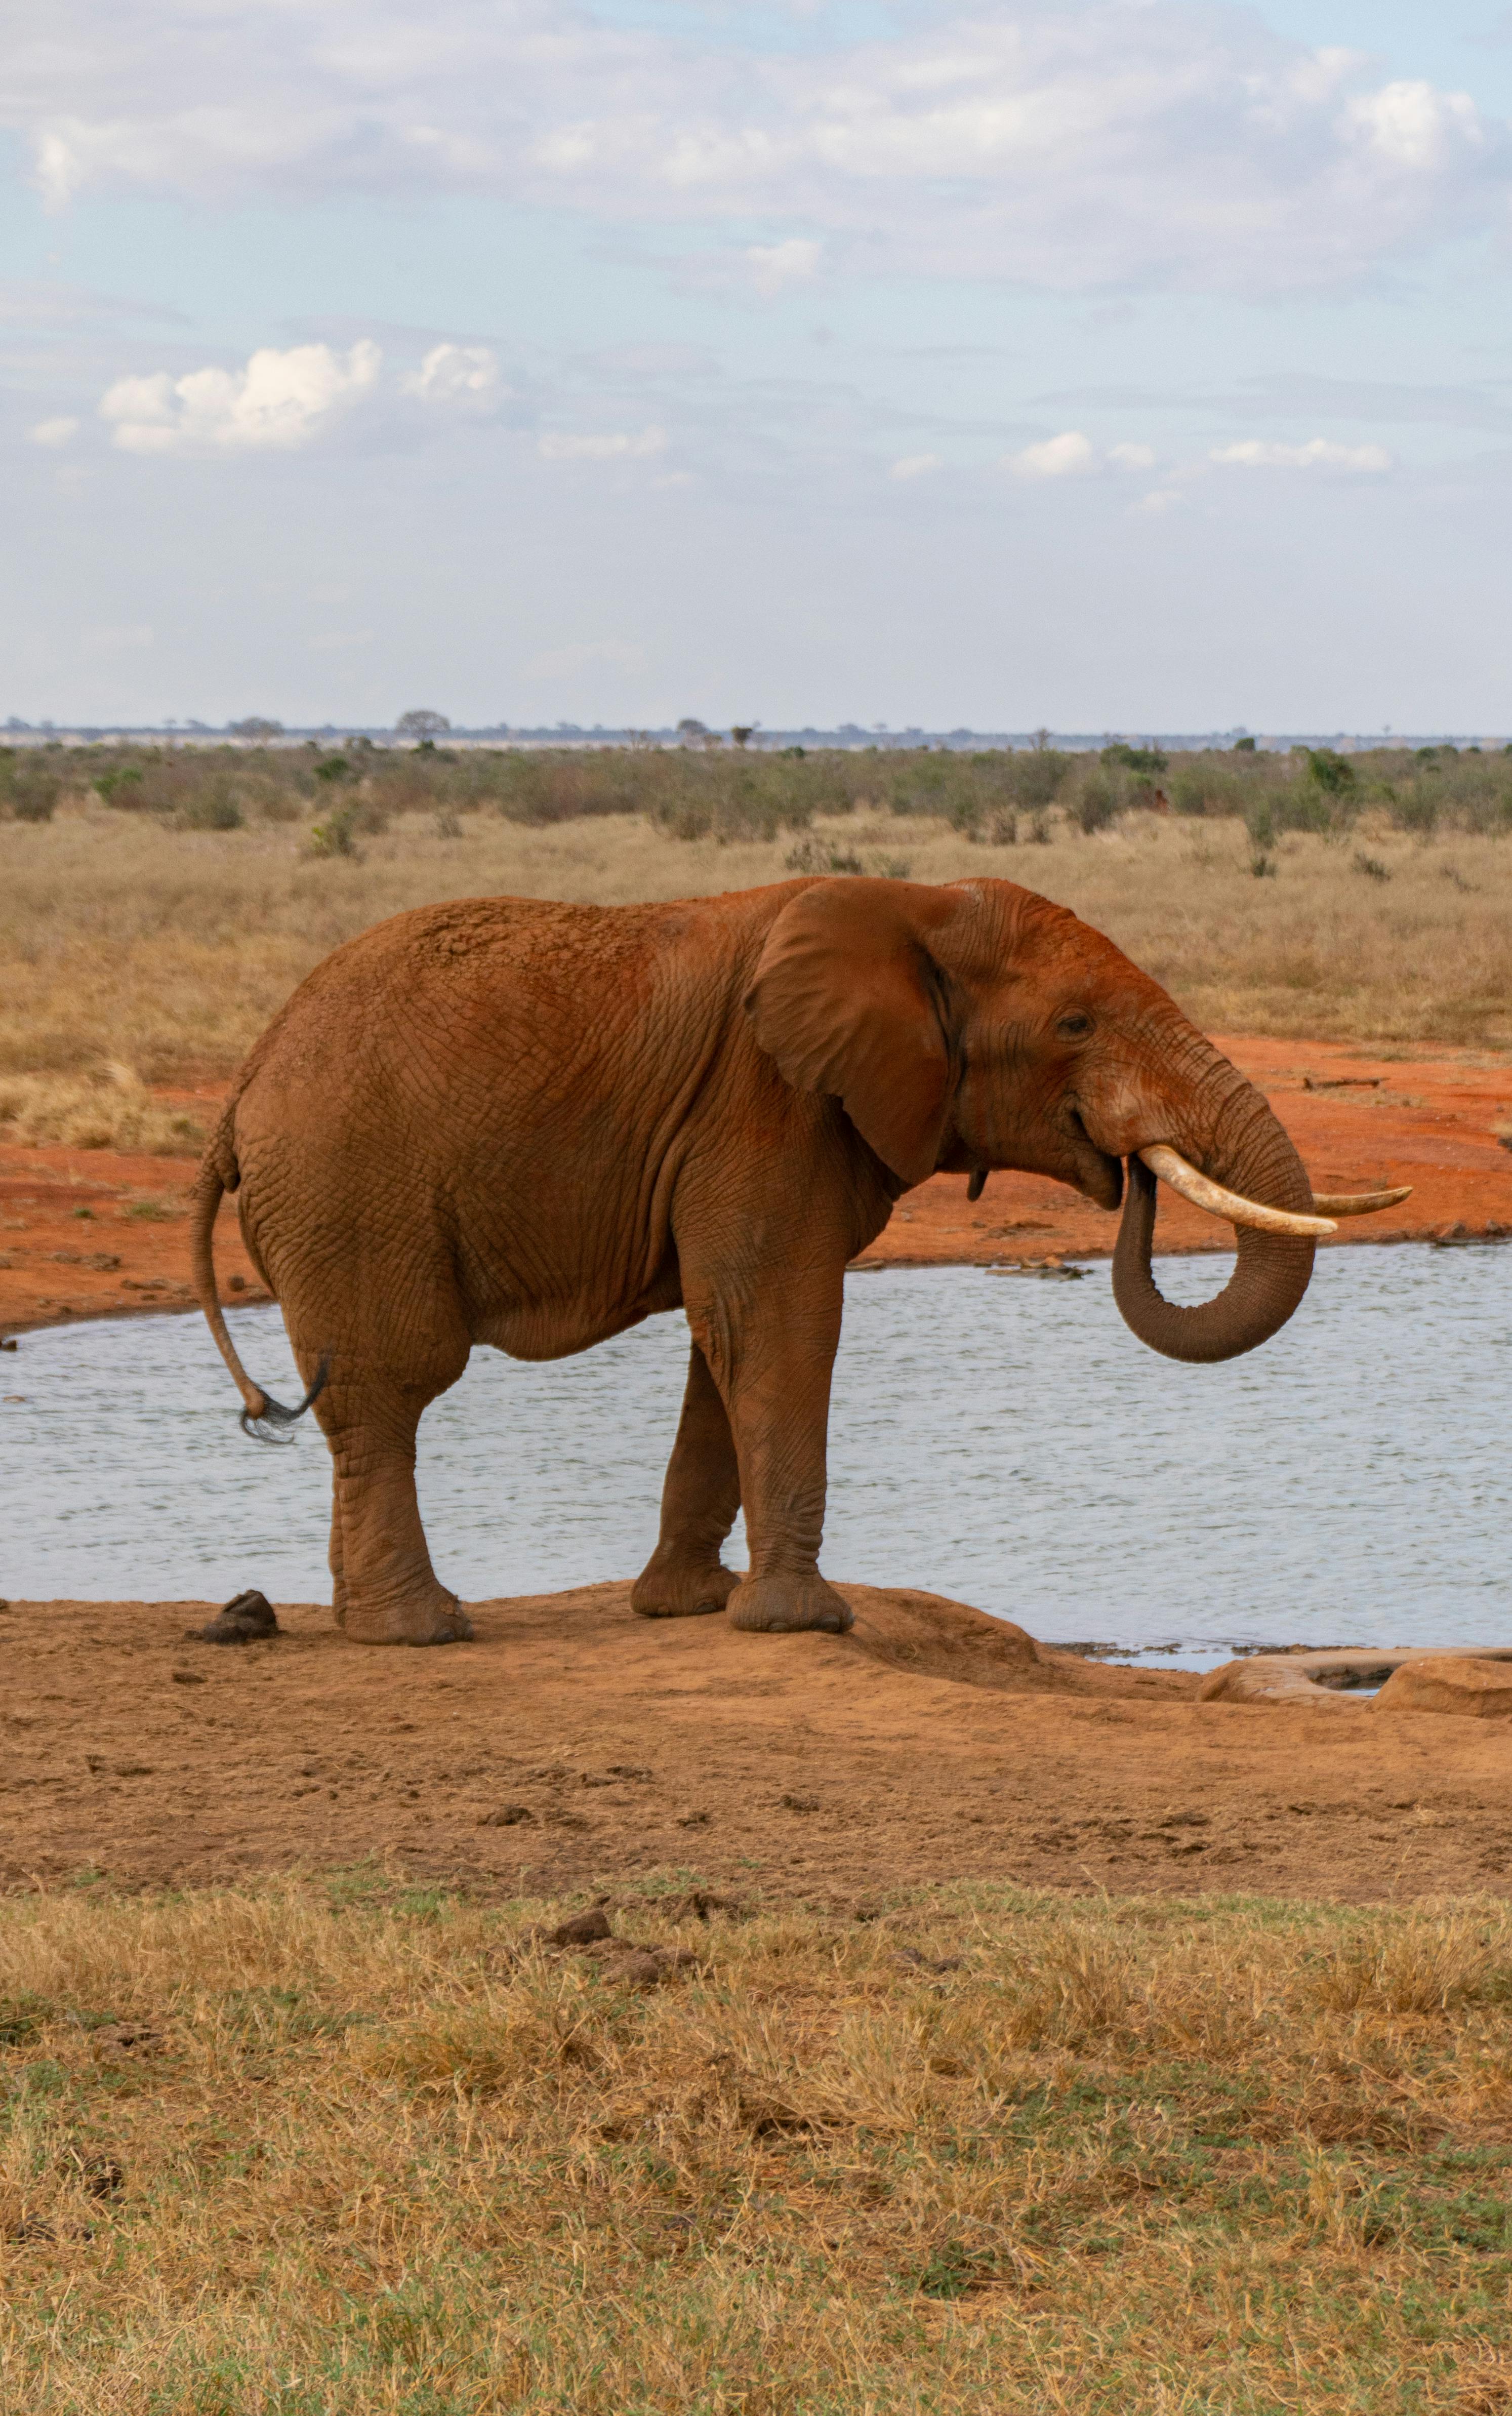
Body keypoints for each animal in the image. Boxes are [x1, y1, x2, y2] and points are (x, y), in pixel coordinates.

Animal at [191, 875, 1402, 1646]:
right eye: (1073, 1024)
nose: (1129, 1172)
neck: (909, 900)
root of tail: (240, 1090)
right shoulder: (764, 1105)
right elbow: (777, 1320)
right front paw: (803, 1622)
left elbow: (718, 1336)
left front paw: (691, 1606)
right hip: (350, 1189)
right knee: (393, 1386)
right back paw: (421, 1632)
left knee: (363, 1406)